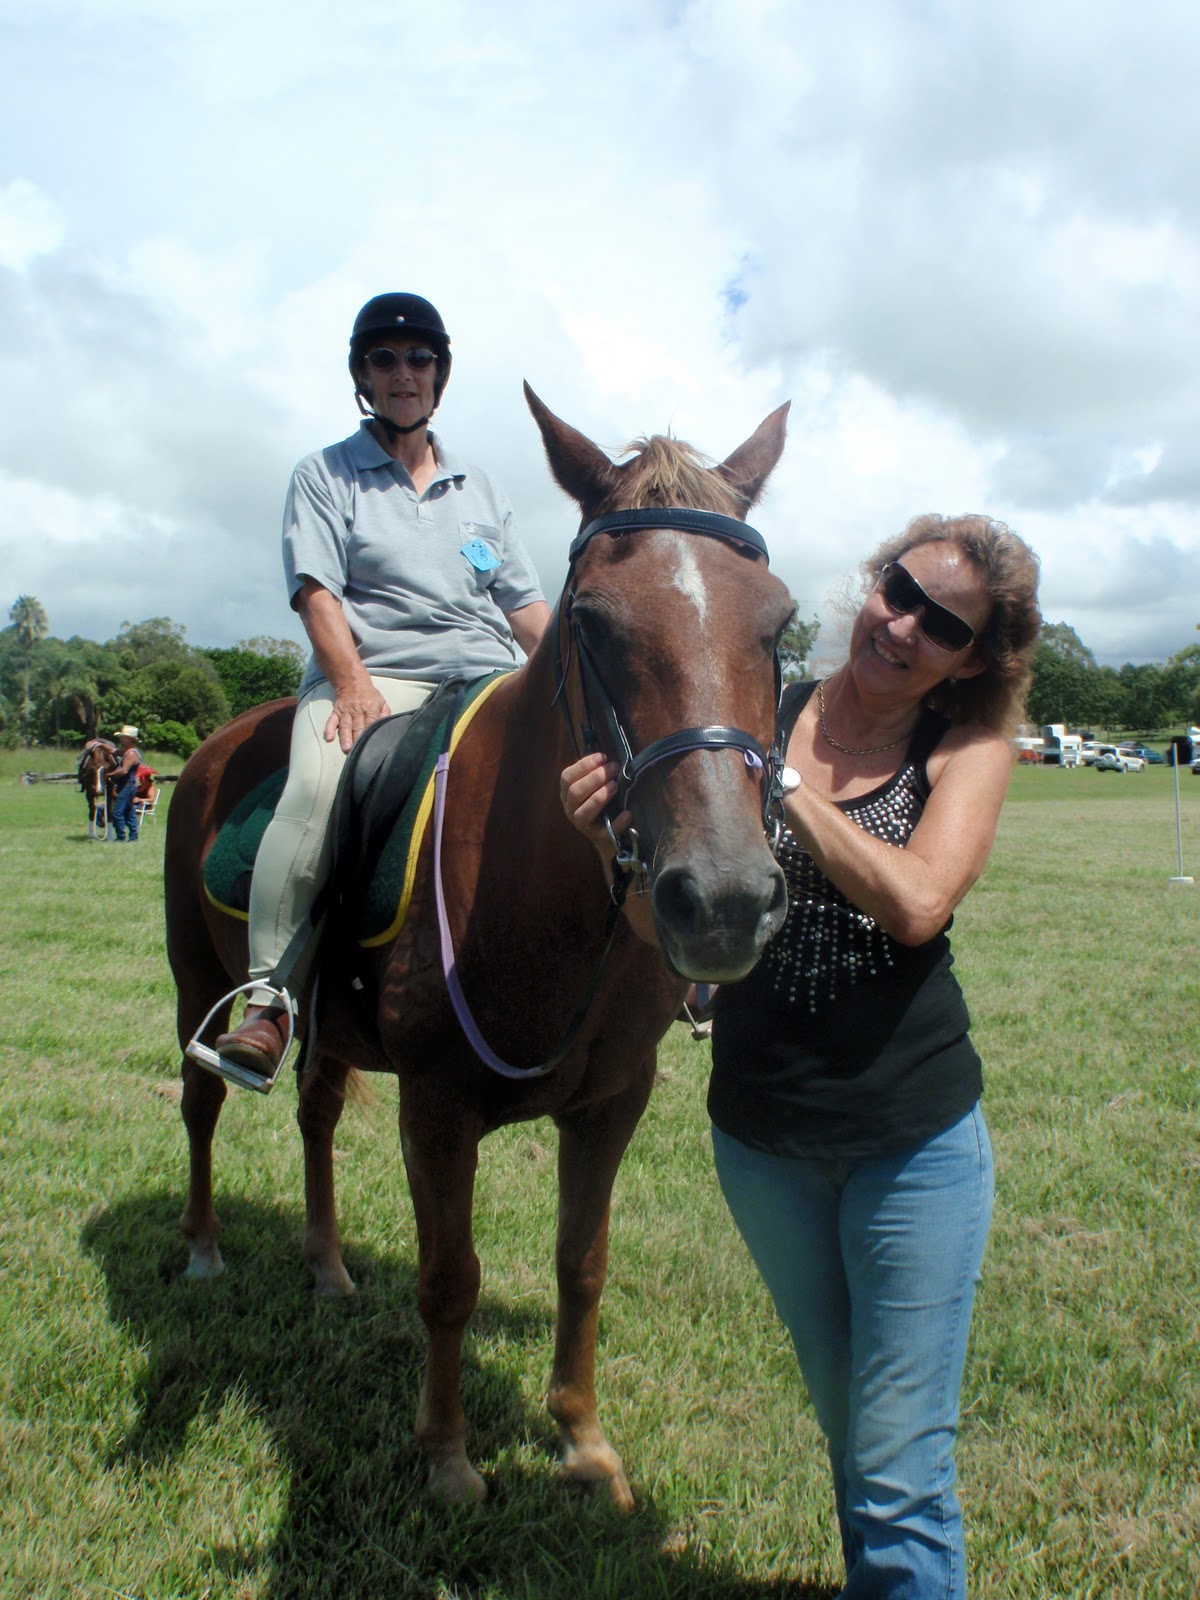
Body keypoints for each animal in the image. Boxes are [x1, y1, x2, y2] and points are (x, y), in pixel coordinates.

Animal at [165, 386, 794, 1508]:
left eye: (781, 625)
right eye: (593, 623)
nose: (723, 897)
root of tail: (214, 745)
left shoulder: (611, 1104)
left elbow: (581, 1263)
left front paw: (582, 1440)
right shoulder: (439, 1107)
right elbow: (449, 1278)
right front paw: (449, 1456)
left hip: (326, 1028)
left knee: (317, 1117)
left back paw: (326, 1264)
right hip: (195, 971)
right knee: (201, 1103)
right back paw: (201, 1246)